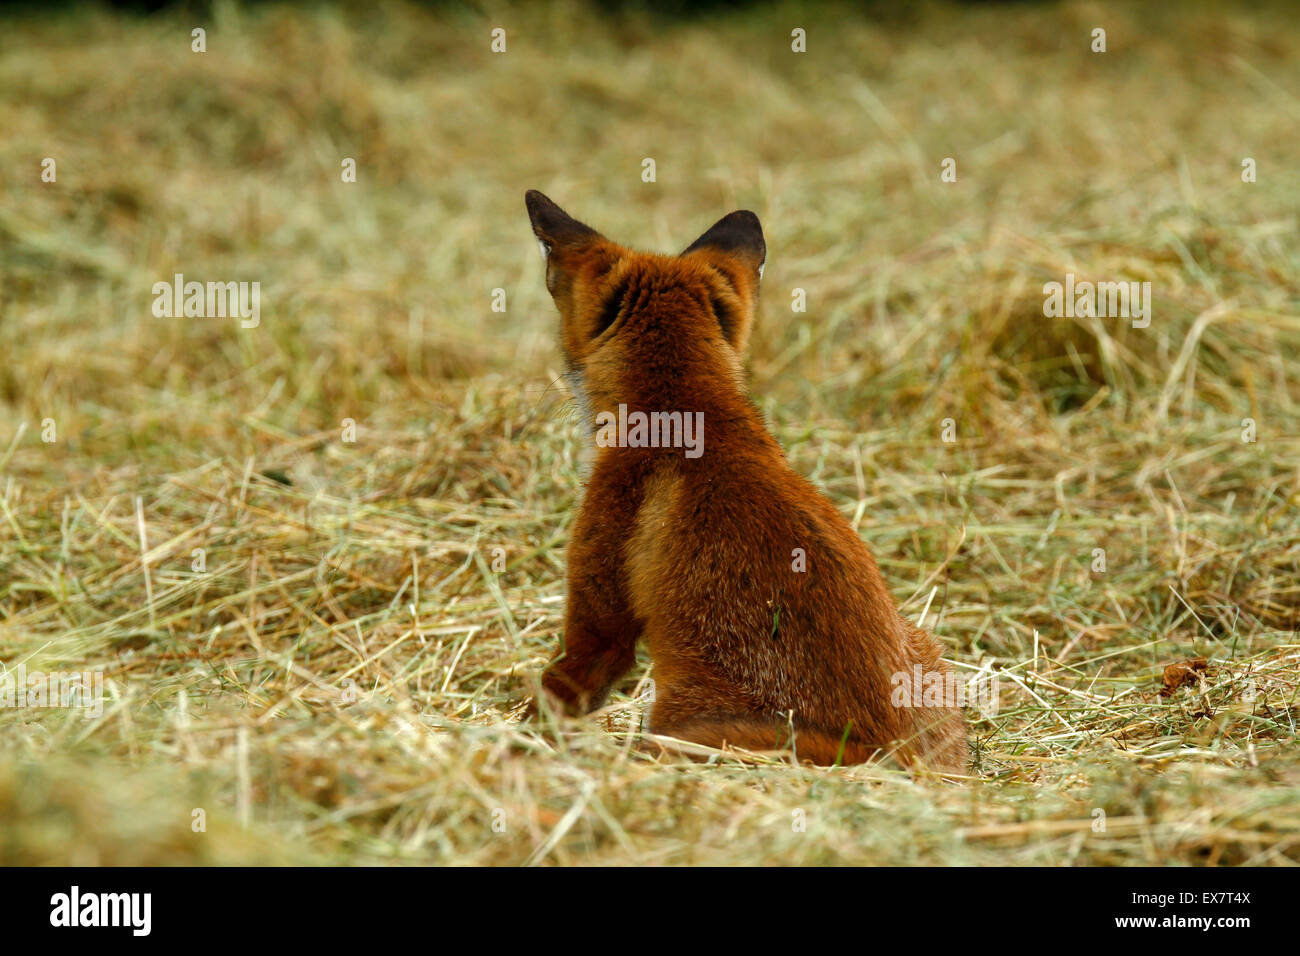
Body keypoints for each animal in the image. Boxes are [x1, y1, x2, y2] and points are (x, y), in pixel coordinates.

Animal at [524, 189, 967, 773]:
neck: (694, 414)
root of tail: (886, 751)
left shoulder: (601, 619)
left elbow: (565, 678)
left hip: (676, 731)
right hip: (929, 652)